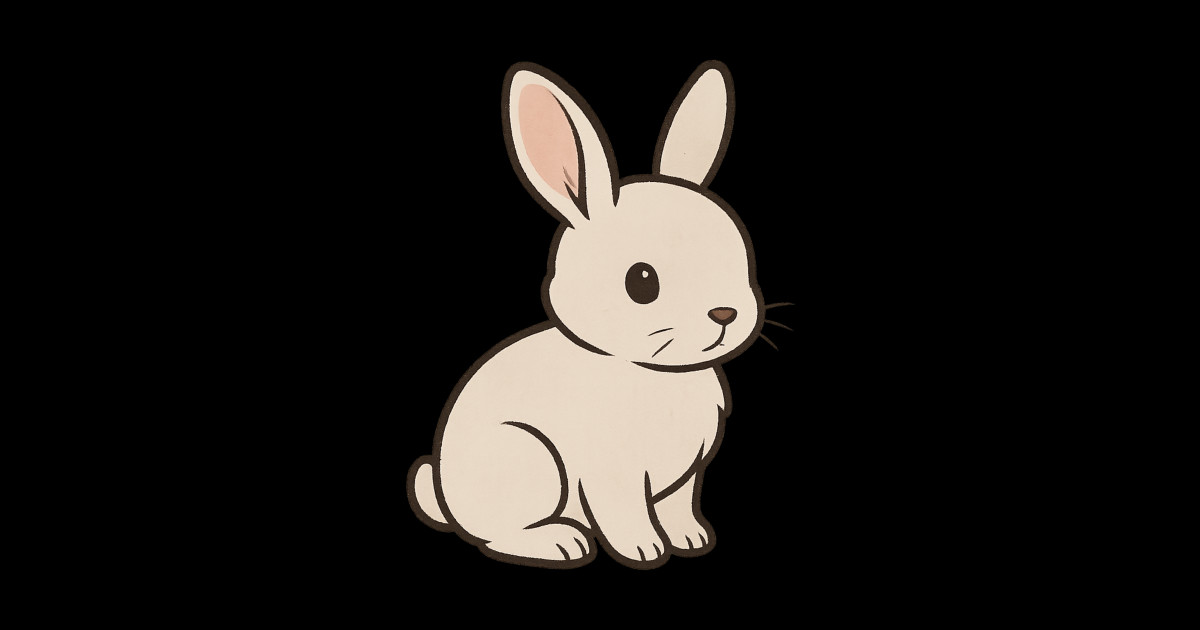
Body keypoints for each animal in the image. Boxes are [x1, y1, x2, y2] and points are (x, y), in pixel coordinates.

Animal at [407, 60, 765, 569]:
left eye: (739, 254)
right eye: (642, 280)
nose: (724, 313)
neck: (651, 370)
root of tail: (445, 498)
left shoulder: (685, 478)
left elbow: (676, 508)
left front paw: (692, 540)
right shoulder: (612, 477)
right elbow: (624, 514)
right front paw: (645, 551)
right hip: (527, 461)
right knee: (498, 535)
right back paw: (561, 542)